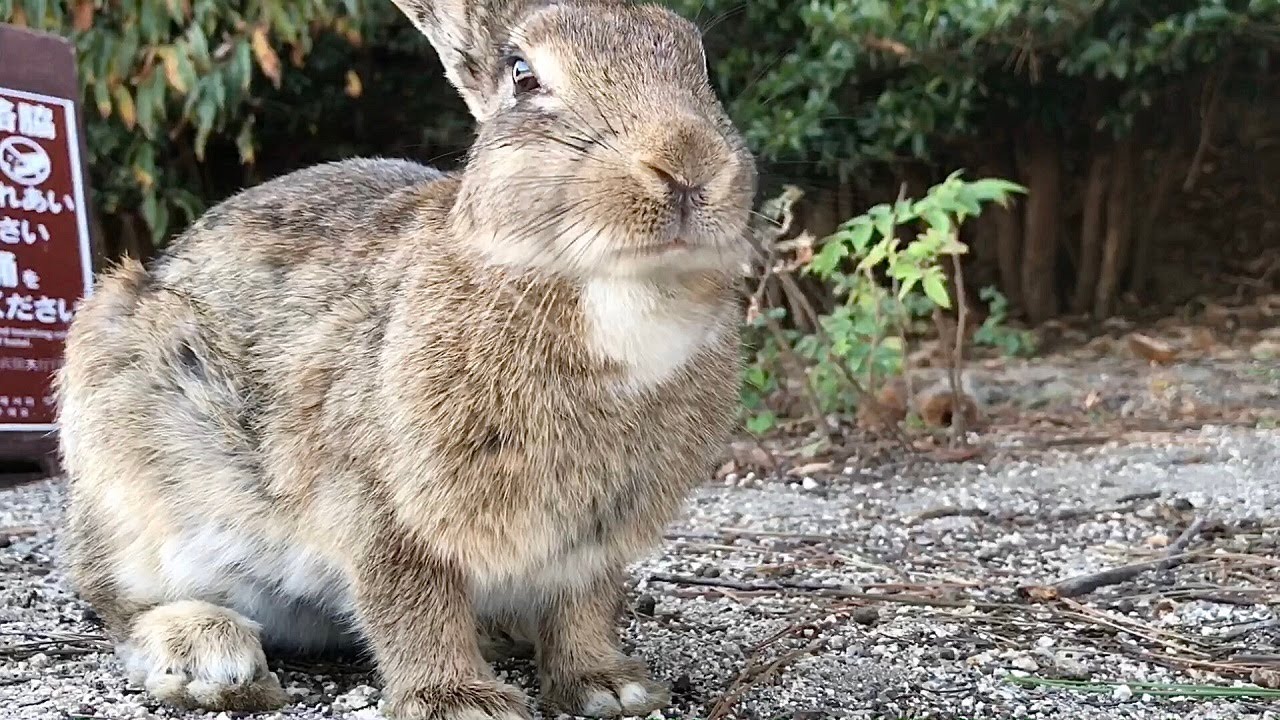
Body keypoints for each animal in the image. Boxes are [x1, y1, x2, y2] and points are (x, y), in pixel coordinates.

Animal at [52, 0, 756, 718]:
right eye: (523, 76)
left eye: (698, 64)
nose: (687, 164)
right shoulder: (386, 505)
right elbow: (412, 600)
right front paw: (460, 701)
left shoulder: (593, 538)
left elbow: (581, 606)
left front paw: (608, 686)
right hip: (128, 468)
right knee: (119, 600)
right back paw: (206, 656)